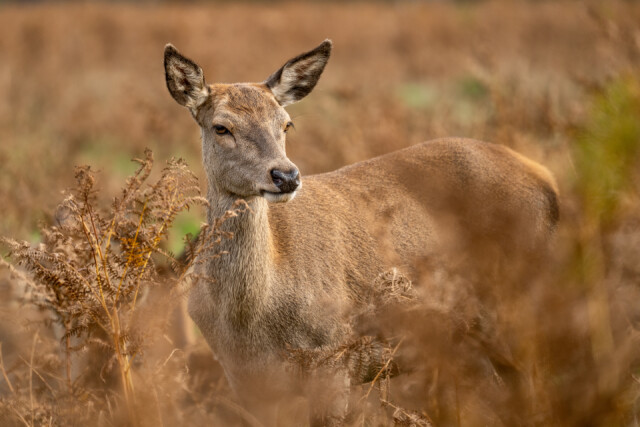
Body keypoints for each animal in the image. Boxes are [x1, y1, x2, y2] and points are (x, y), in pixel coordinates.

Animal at [163, 39, 559, 425]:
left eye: (286, 124)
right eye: (221, 127)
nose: (286, 176)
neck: (251, 320)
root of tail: (548, 180)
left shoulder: (331, 355)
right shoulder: (244, 380)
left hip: (520, 309)